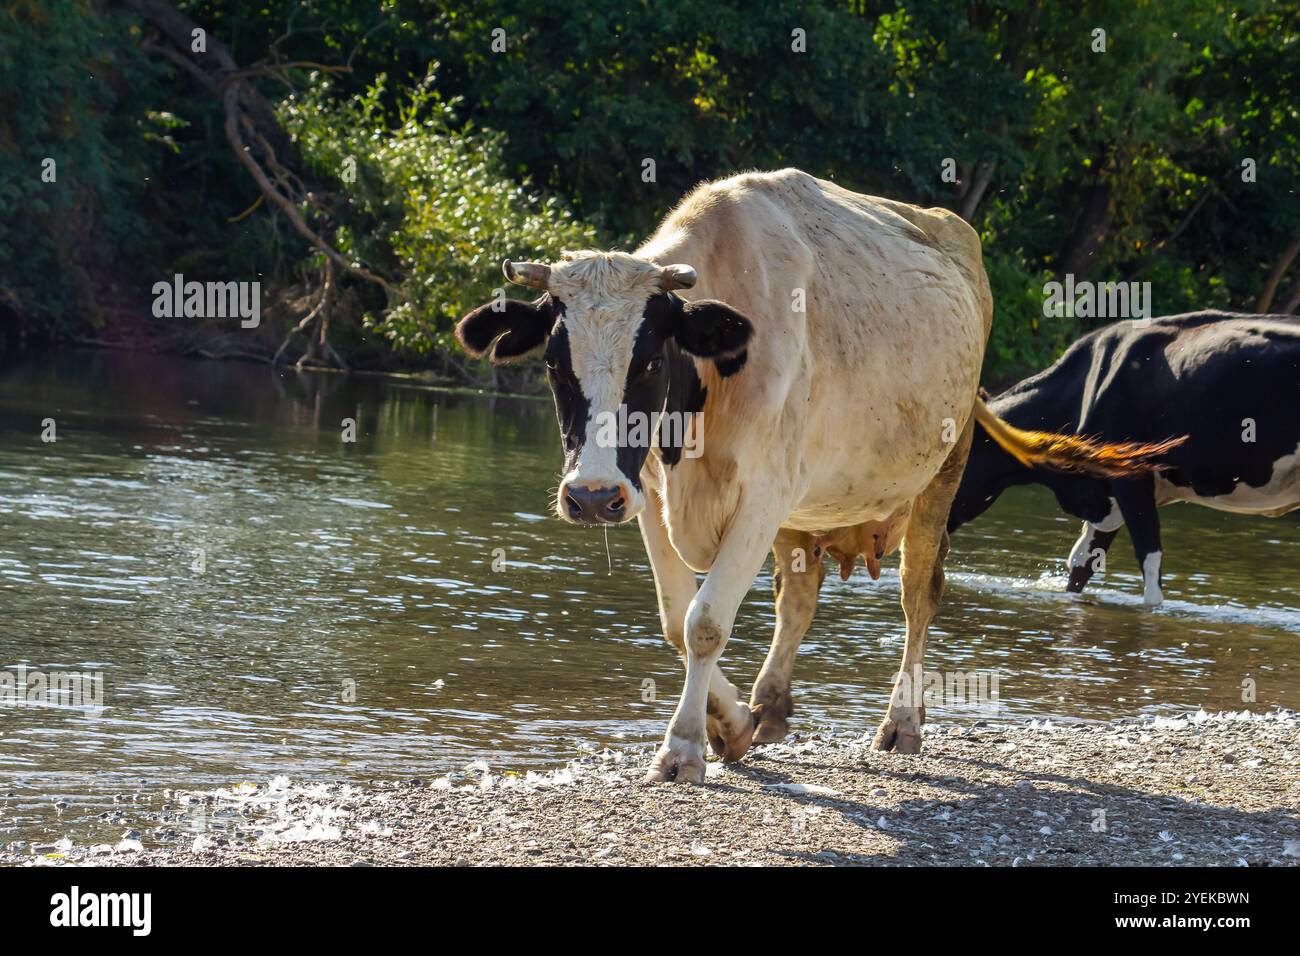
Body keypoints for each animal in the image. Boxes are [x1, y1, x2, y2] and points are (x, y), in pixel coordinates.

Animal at [455, 168, 1170, 782]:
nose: (590, 496)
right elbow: (677, 618)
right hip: (804, 511)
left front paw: (683, 748)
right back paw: (770, 708)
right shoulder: (651, 492)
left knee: (919, 594)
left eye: (651, 361)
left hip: (942, 471)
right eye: (554, 364)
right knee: (799, 598)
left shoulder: (761, 495)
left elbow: (706, 621)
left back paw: (903, 722)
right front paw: (731, 723)